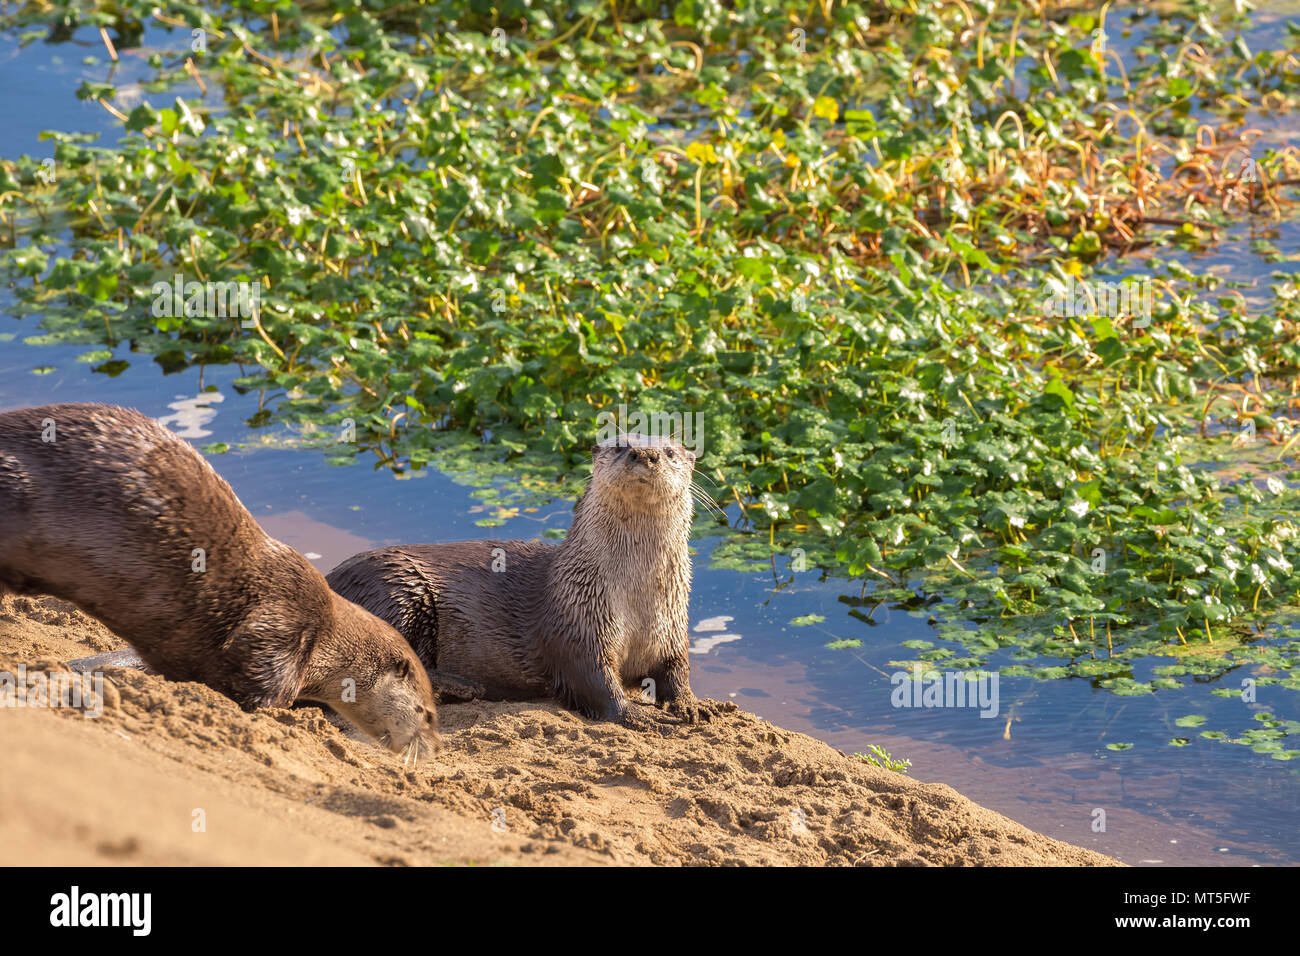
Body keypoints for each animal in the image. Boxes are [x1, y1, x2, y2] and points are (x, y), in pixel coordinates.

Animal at [328, 434, 728, 728]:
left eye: (670, 452)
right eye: (619, 445)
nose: (644, 454)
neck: (636, 599)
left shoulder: (673, 626)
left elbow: (677, 669)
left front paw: (691, 705)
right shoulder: (578, 622)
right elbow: (595, 679)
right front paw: (636, 714)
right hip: (397, 588)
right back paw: (463, 687)